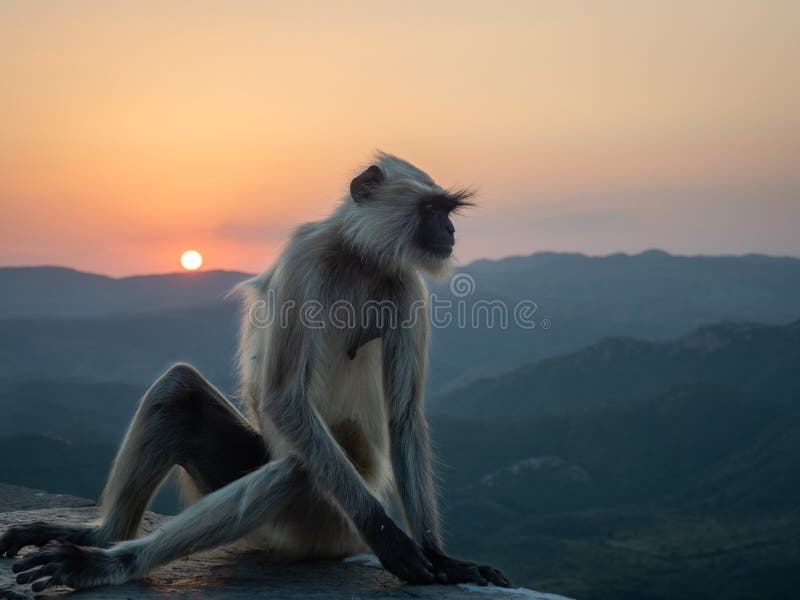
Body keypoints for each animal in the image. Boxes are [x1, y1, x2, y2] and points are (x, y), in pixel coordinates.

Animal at [0, 152, 511, 593]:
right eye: (431, 210)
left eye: (445, 210)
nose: (449, 230)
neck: (356, 256)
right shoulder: (305, 261)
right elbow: (284, 398)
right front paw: (392, 540)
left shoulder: (407, 288)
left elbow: (403, 413)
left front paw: (437, 555)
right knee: (185, 393)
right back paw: (104, 545)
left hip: (322, 528)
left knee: (287, 469)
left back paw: (103, 558)